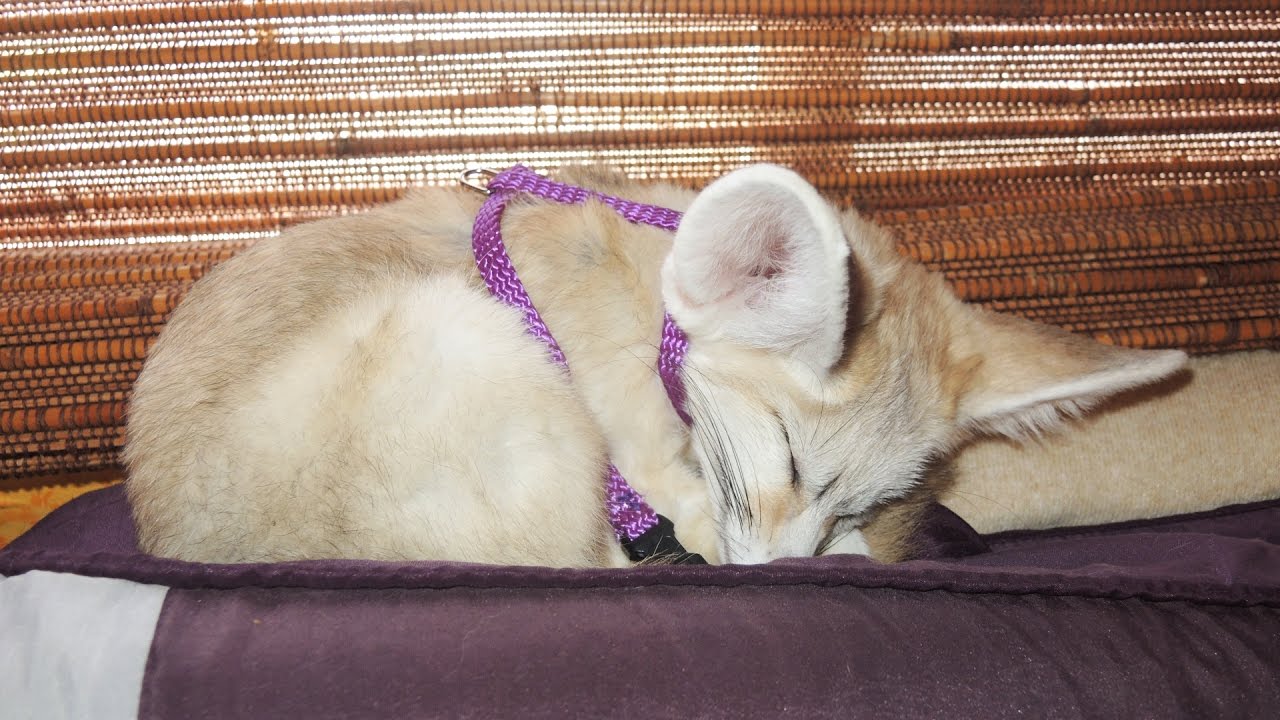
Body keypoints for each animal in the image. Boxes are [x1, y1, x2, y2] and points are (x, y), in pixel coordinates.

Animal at [123, 164, 1187, 567]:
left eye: (855, 499)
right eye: (787, 459)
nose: (786, 571)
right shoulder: (622, 416)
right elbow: (676, 495)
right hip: (472, 334)